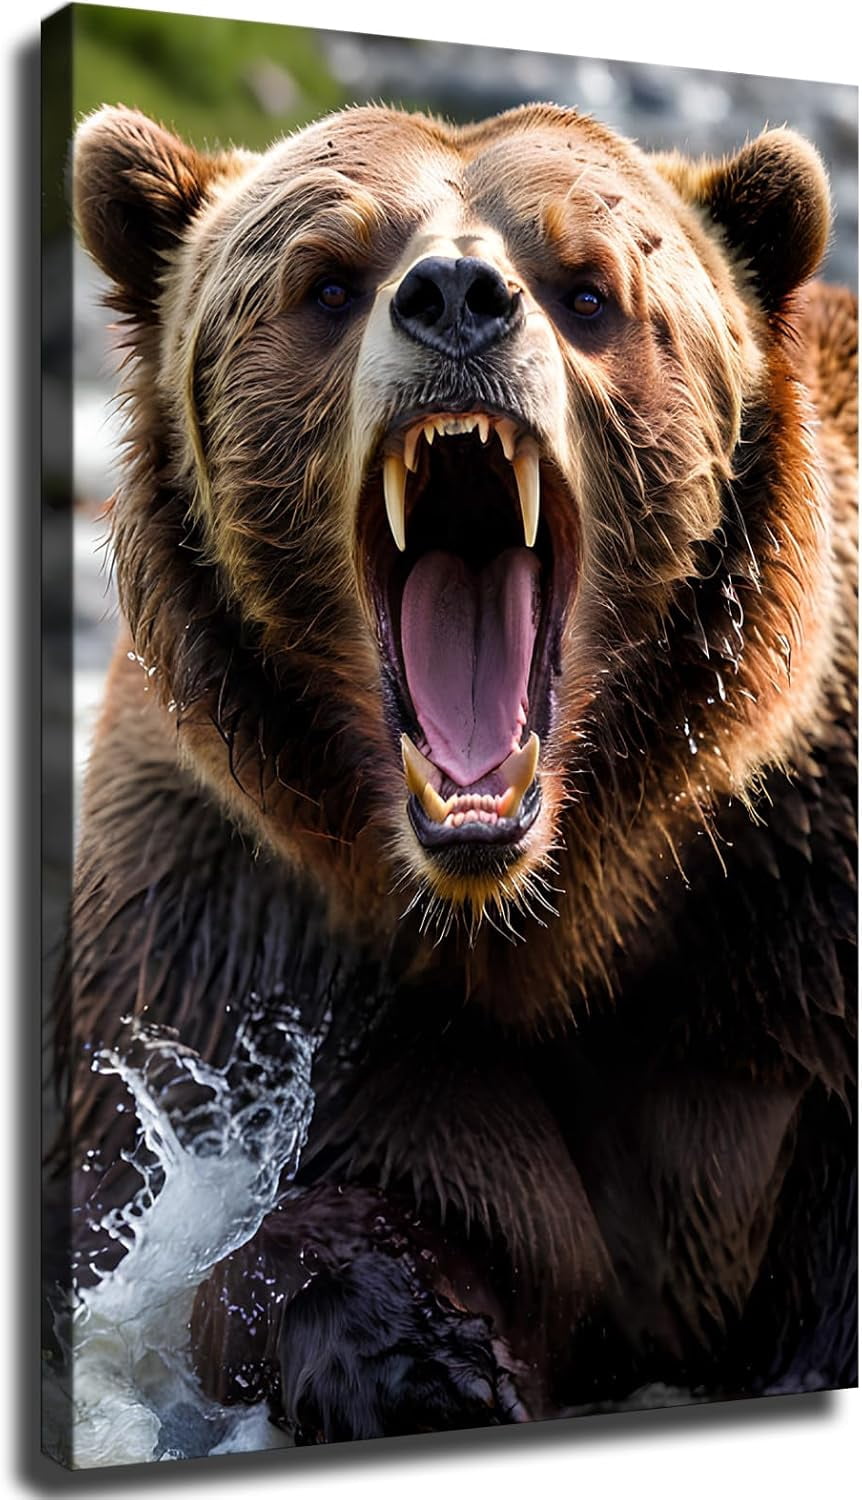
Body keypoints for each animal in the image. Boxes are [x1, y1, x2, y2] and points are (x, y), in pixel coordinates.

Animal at [60, 100, 856, 1445]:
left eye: (590, 288)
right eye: (328, 279)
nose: (456, 299)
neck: (548, 903)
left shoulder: (792, 919)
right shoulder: (247, 931)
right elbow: (392, 1200)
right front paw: (419, 1360)